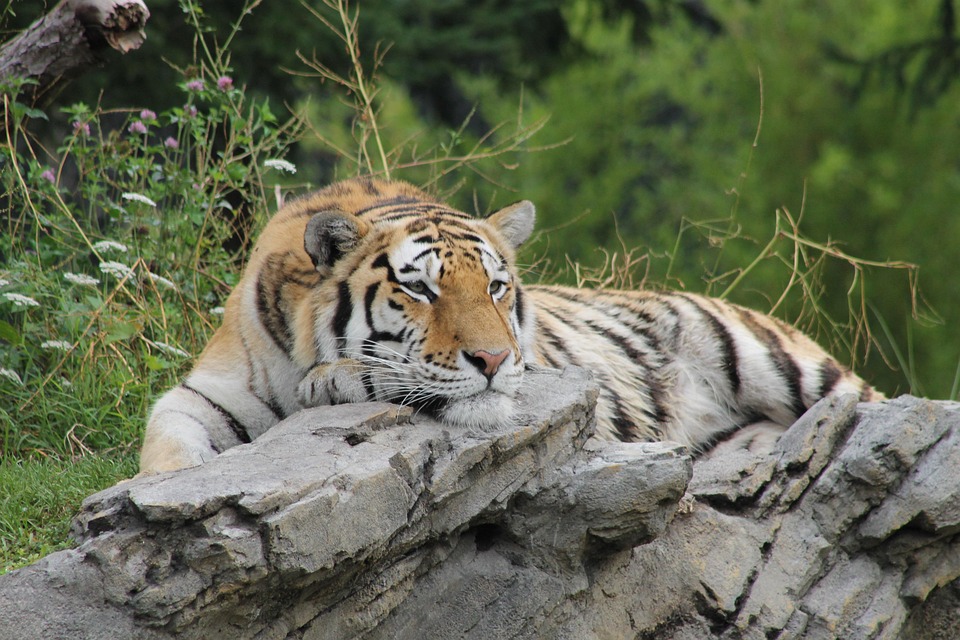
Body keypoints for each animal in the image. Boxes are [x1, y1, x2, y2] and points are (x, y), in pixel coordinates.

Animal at [139, 177, 884, 473]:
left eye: (496, 288)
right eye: (419, 289)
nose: (495, 361)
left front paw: (336, 379)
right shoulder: (204, 393)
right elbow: (165, 445)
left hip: (778, 361)